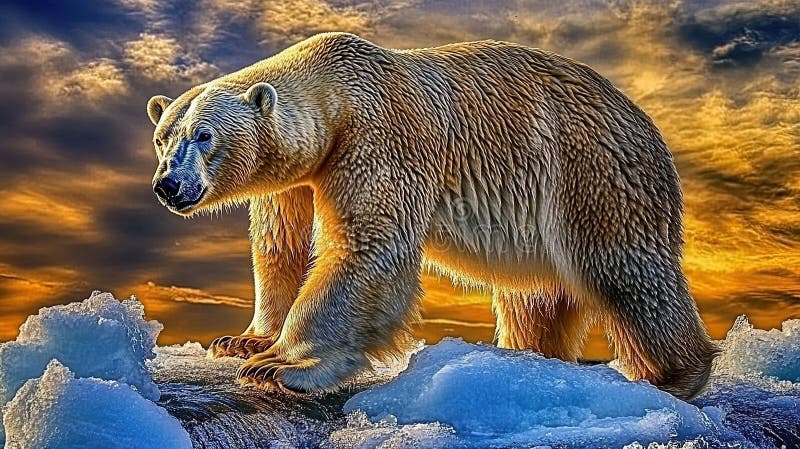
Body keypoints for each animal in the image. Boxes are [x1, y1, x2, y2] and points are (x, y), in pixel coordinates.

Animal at [146, 32, 718, 399]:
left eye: (203, 135)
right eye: (163, 136)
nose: (167, 184)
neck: (336, 88)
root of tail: (648, 125)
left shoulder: (377, 138)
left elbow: (366, 245)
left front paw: (280, 365)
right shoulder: (296, 178)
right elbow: (278, 246)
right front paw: (244, 340)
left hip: (591, 173)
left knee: (624, 271)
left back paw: (674, 375)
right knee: (534, 293)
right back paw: (529, 356)